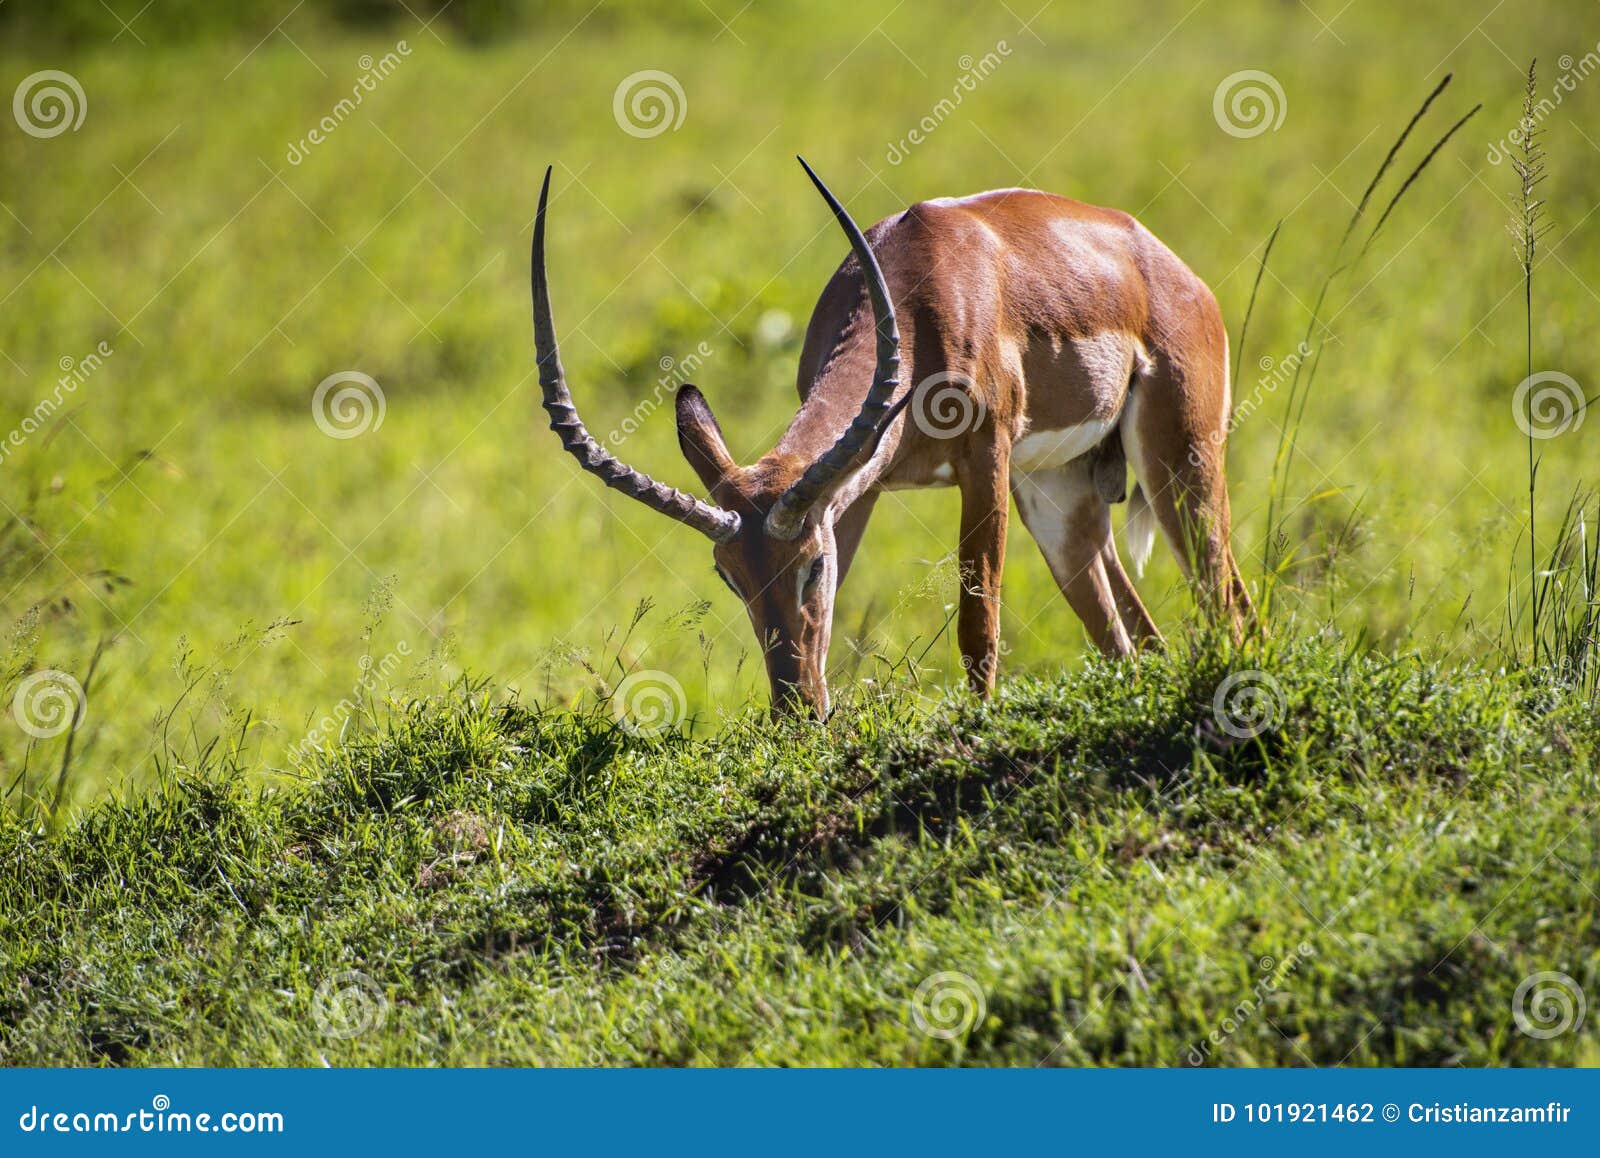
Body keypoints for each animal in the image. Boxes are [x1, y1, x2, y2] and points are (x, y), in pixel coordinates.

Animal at [531, 159, 1251, 717]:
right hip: (1058, 496)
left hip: (1179, 461)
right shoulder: (855, 491)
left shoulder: (984, 456)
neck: (922, 298)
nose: (797, 711)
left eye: (811, 566)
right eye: (731, 576)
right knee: (1136, 640)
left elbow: (979, 623)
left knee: (1230, 605)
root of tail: (1168, 266)